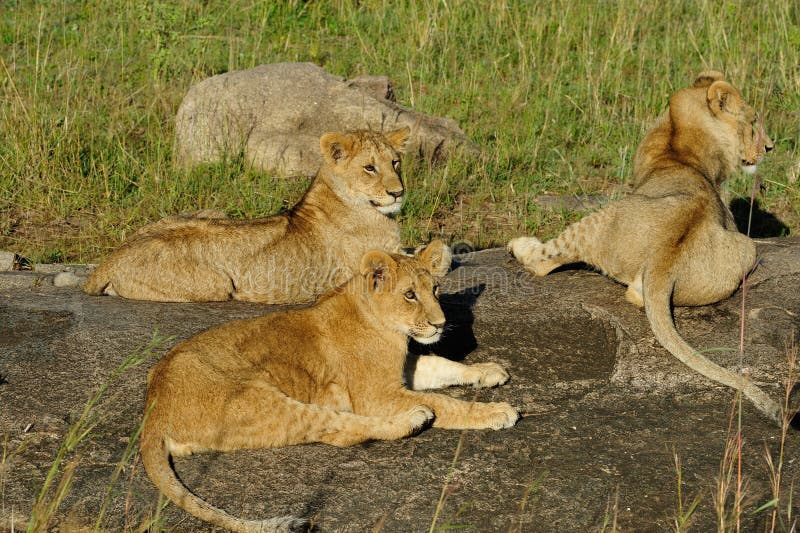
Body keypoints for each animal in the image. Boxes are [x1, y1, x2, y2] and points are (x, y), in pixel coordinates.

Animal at [140, 241, 519, 532]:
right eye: (410, 295)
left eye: (436, 290)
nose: (441, 323)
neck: (383, 323)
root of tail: (152, 409)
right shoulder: (376, 396)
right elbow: (445, 402)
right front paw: (496, 411)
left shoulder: (399, 372)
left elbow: (439, 364)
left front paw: (488, 371)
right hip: (260, 400)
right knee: (341, 429)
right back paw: (414, 418)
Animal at [509, 71, 780, 423]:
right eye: (753, 121)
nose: (771, 146)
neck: (681, 143)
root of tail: (666, 261)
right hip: (748, 249)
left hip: (604, 215)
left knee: (544, 262)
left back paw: (518, 245)